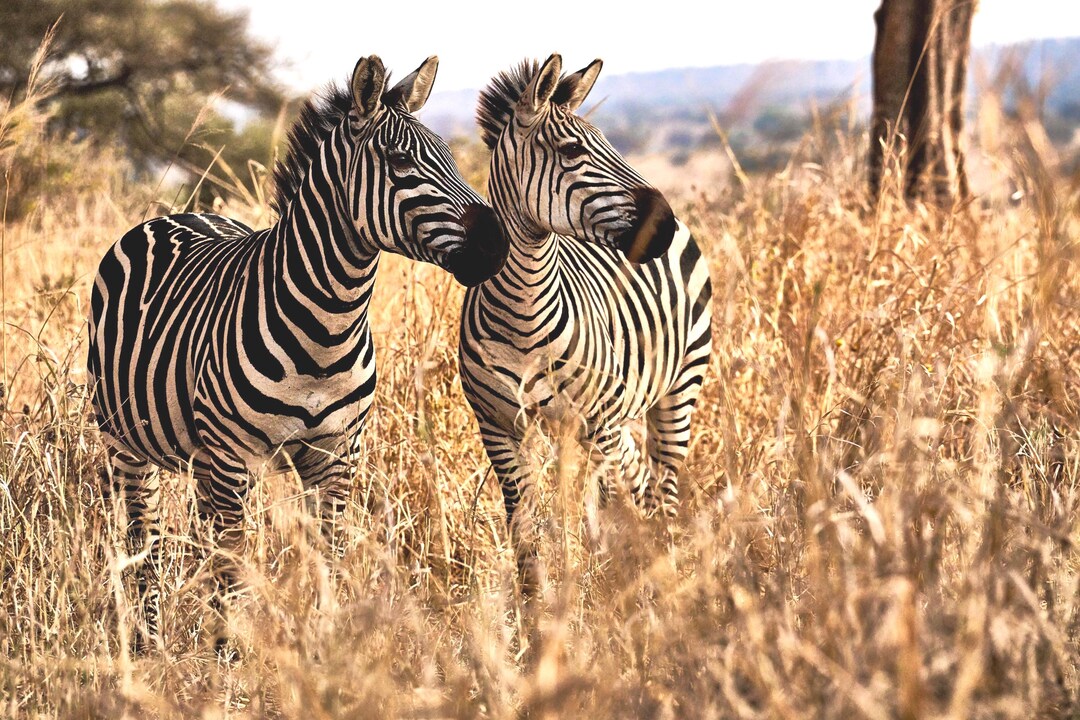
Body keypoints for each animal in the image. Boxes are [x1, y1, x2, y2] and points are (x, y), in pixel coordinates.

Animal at [87, 55, 508, 650]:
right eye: (400, 162)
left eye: (450, 155)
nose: (497, 246)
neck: (327, 329)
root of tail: (174, 215)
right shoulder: (234, 457)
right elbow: (236, 565)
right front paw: (229, 657)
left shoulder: (336, 457)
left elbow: (328, 558)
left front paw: (326, 645)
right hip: (126, 441)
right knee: (143, 537)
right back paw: (148, 641)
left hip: (200, 455)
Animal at [460, 54, 713, 592]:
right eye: (572, 149)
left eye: (609, 143)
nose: (661, 223)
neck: (523, 311)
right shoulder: (499, 428)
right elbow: (526, 532)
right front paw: (538, 606)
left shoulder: (594, 424)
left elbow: (591, 518)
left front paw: (605, 592)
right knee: (634, 480)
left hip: (677, 389)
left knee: (661, 484)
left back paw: (666, 561)